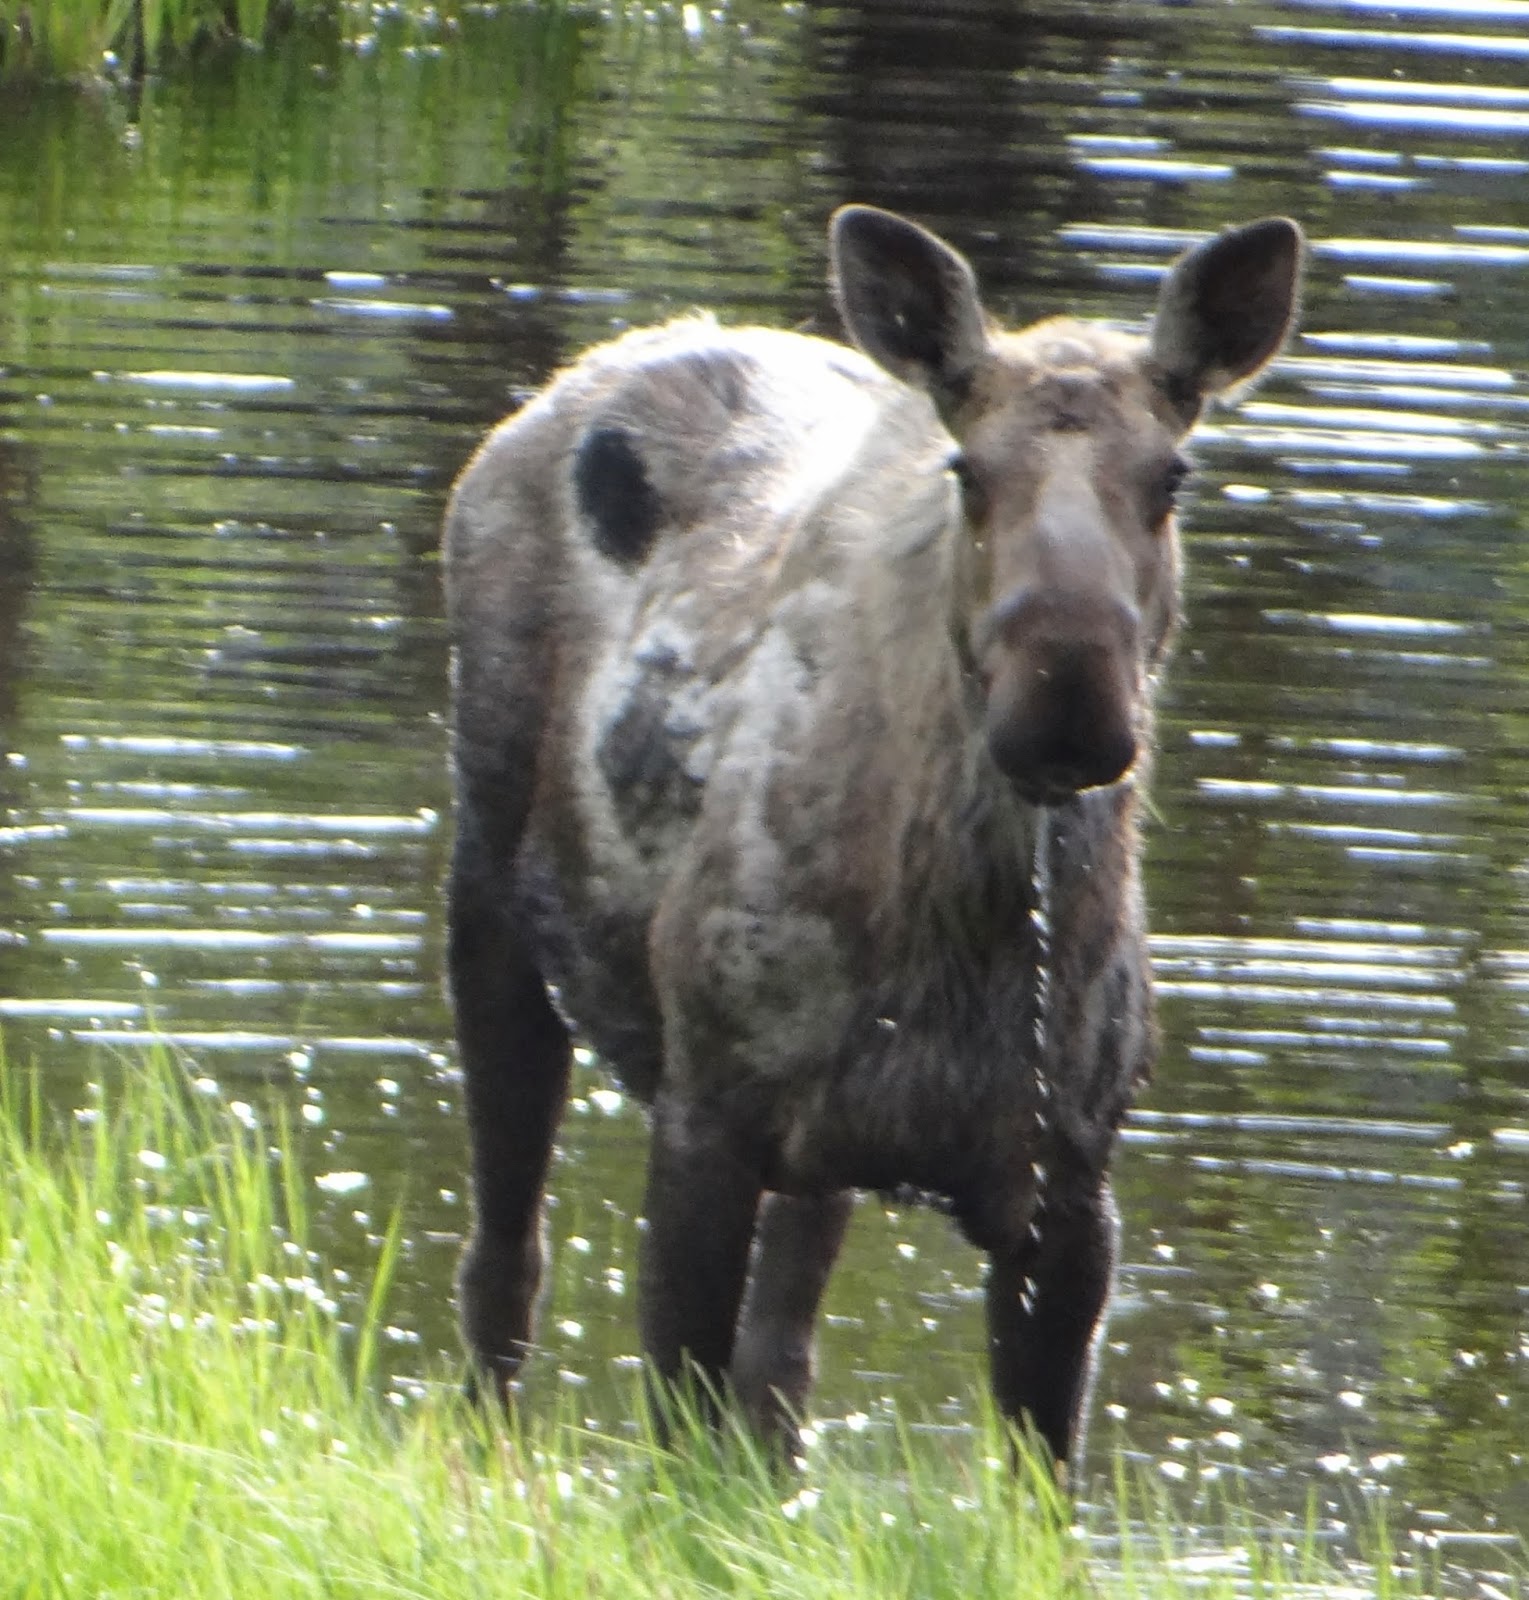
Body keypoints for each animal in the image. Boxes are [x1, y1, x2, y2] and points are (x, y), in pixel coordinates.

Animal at [441, 203, 1303, 1472]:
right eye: (967, 471)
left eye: (1171, 476)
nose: (1066, 702)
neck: (963, 925)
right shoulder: (705, 1113)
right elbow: (674, 1428)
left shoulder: (1069, 1179)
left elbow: (1038, 1471)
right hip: (492, 900)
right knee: (505, 1257)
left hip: (818, 1156)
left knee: (780, 1355)